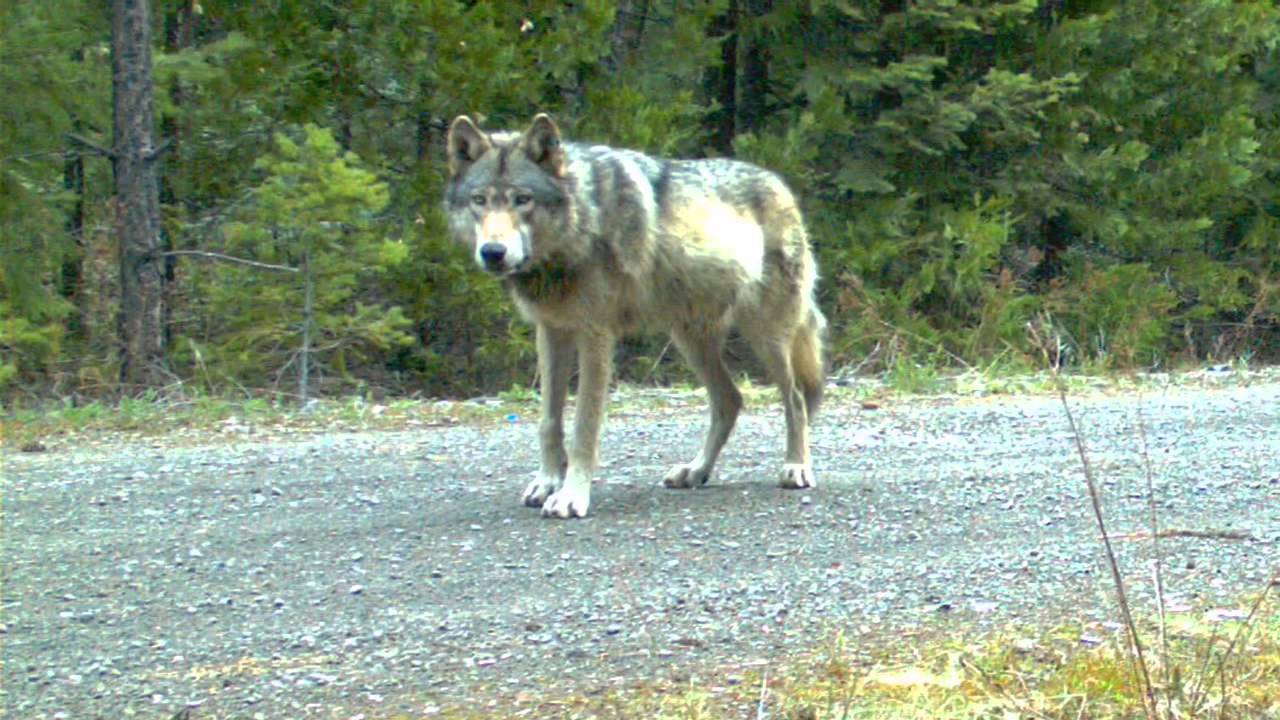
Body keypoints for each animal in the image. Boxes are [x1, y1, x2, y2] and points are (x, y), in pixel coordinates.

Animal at [444, 113, 826, 518]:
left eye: (522, 200)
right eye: (479, 201)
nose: (493, 252)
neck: (582, 222)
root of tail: (781, 185)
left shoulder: (595, 335)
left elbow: (583, 427)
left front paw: (570, 496)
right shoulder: (551, 332)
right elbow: (549, 421)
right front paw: (547, 482)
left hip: (766, 336)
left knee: (796, 398)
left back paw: (796, 467)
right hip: (690, 340)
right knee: (730, 400)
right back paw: (695, 471)